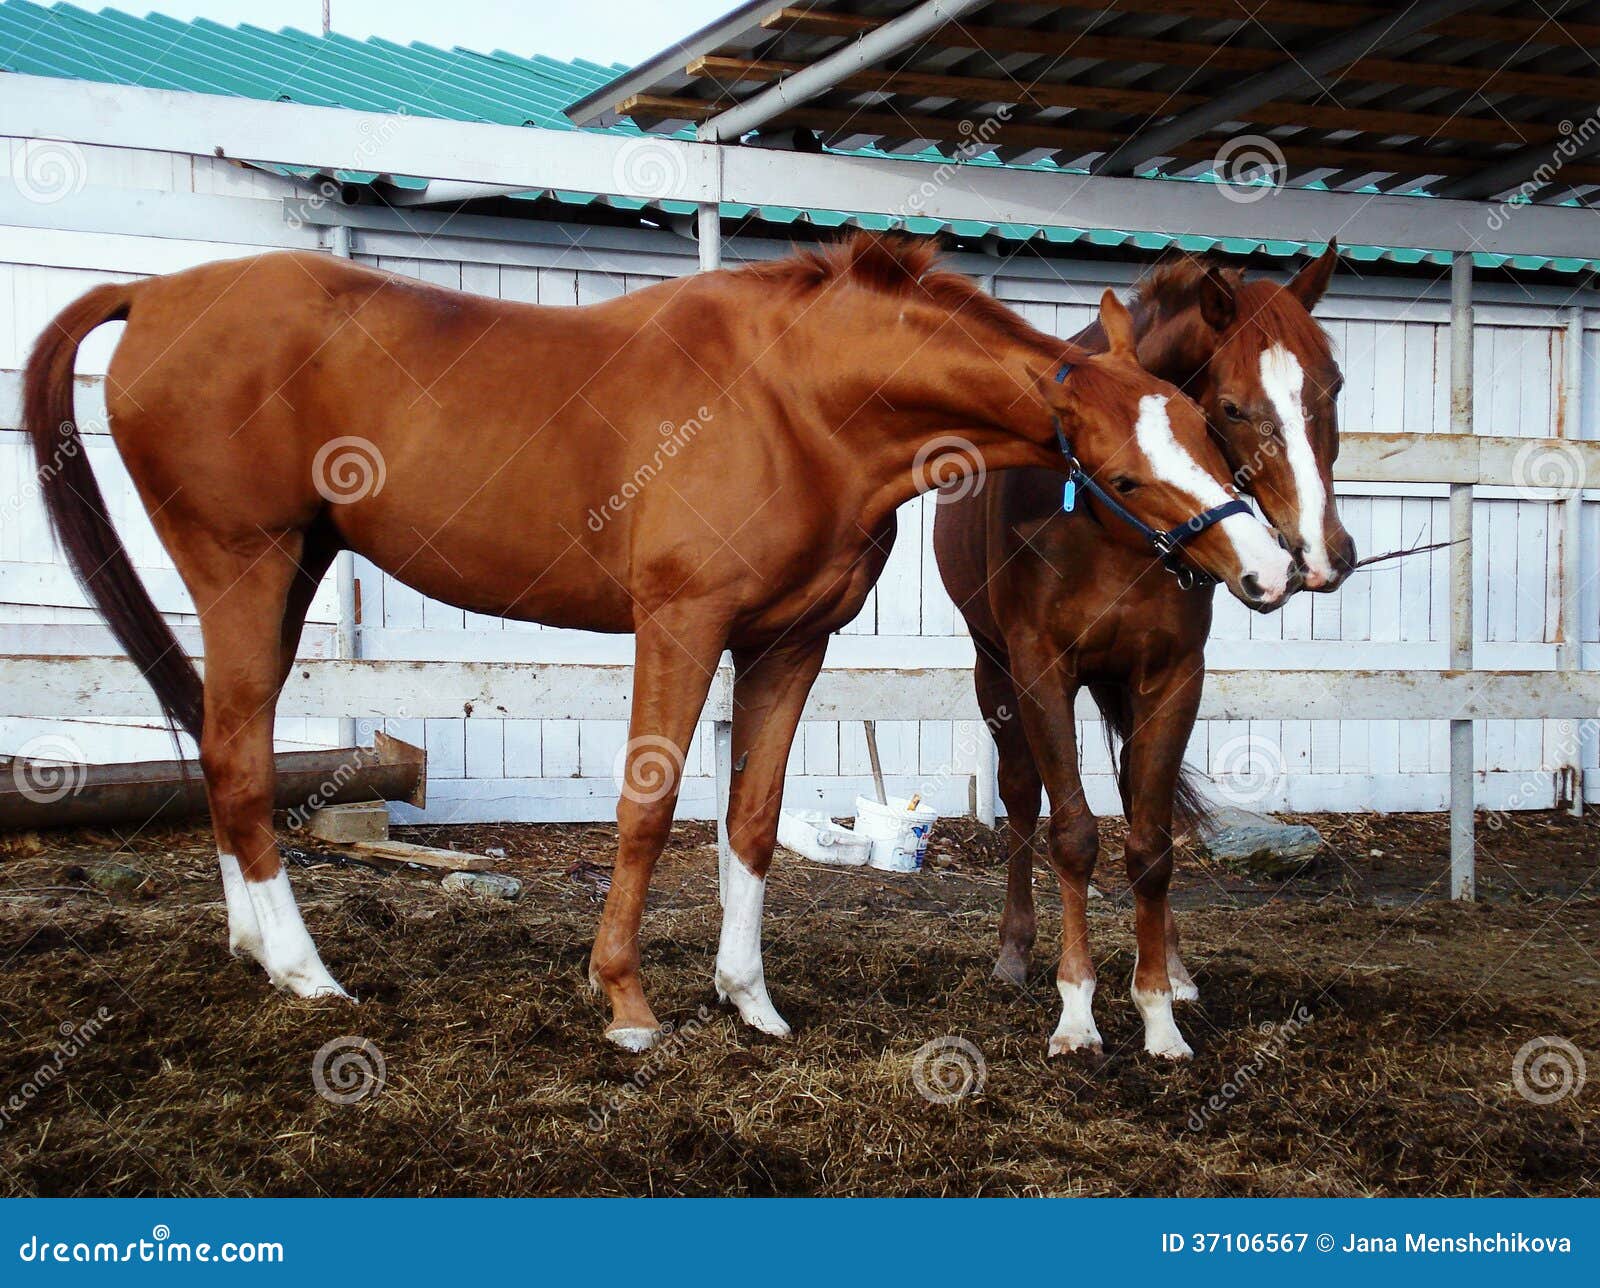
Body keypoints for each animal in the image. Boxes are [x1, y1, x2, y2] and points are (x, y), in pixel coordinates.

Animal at [24, 232, 1295, 1052]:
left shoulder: (787, 644)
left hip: (286, 578)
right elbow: (647, 804)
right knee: (239, 761)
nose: (1271, 568)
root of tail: (155, 292)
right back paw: (306, 974)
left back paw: (256, 950)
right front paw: (626, 1003)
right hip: (242, 567)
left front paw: (750, 1001)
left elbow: (751, 820)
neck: (797, 398)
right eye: (1120, 470)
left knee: (217, 745)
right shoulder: (679, 623)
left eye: (1206, 426)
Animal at [933, 244, 1353, 1060]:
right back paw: (1013, 953)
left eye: (1335, 386)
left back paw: (1177, 967)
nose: (1323, 556)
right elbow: (1071, 835)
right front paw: (1076, 1010)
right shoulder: (1041, 669)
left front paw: (1158, 1006)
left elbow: (1152, 839)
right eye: (1232, 408)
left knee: (1136, 798)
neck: (1107, 523)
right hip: (993, 669)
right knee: (1021, 798)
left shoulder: (1172, 673)